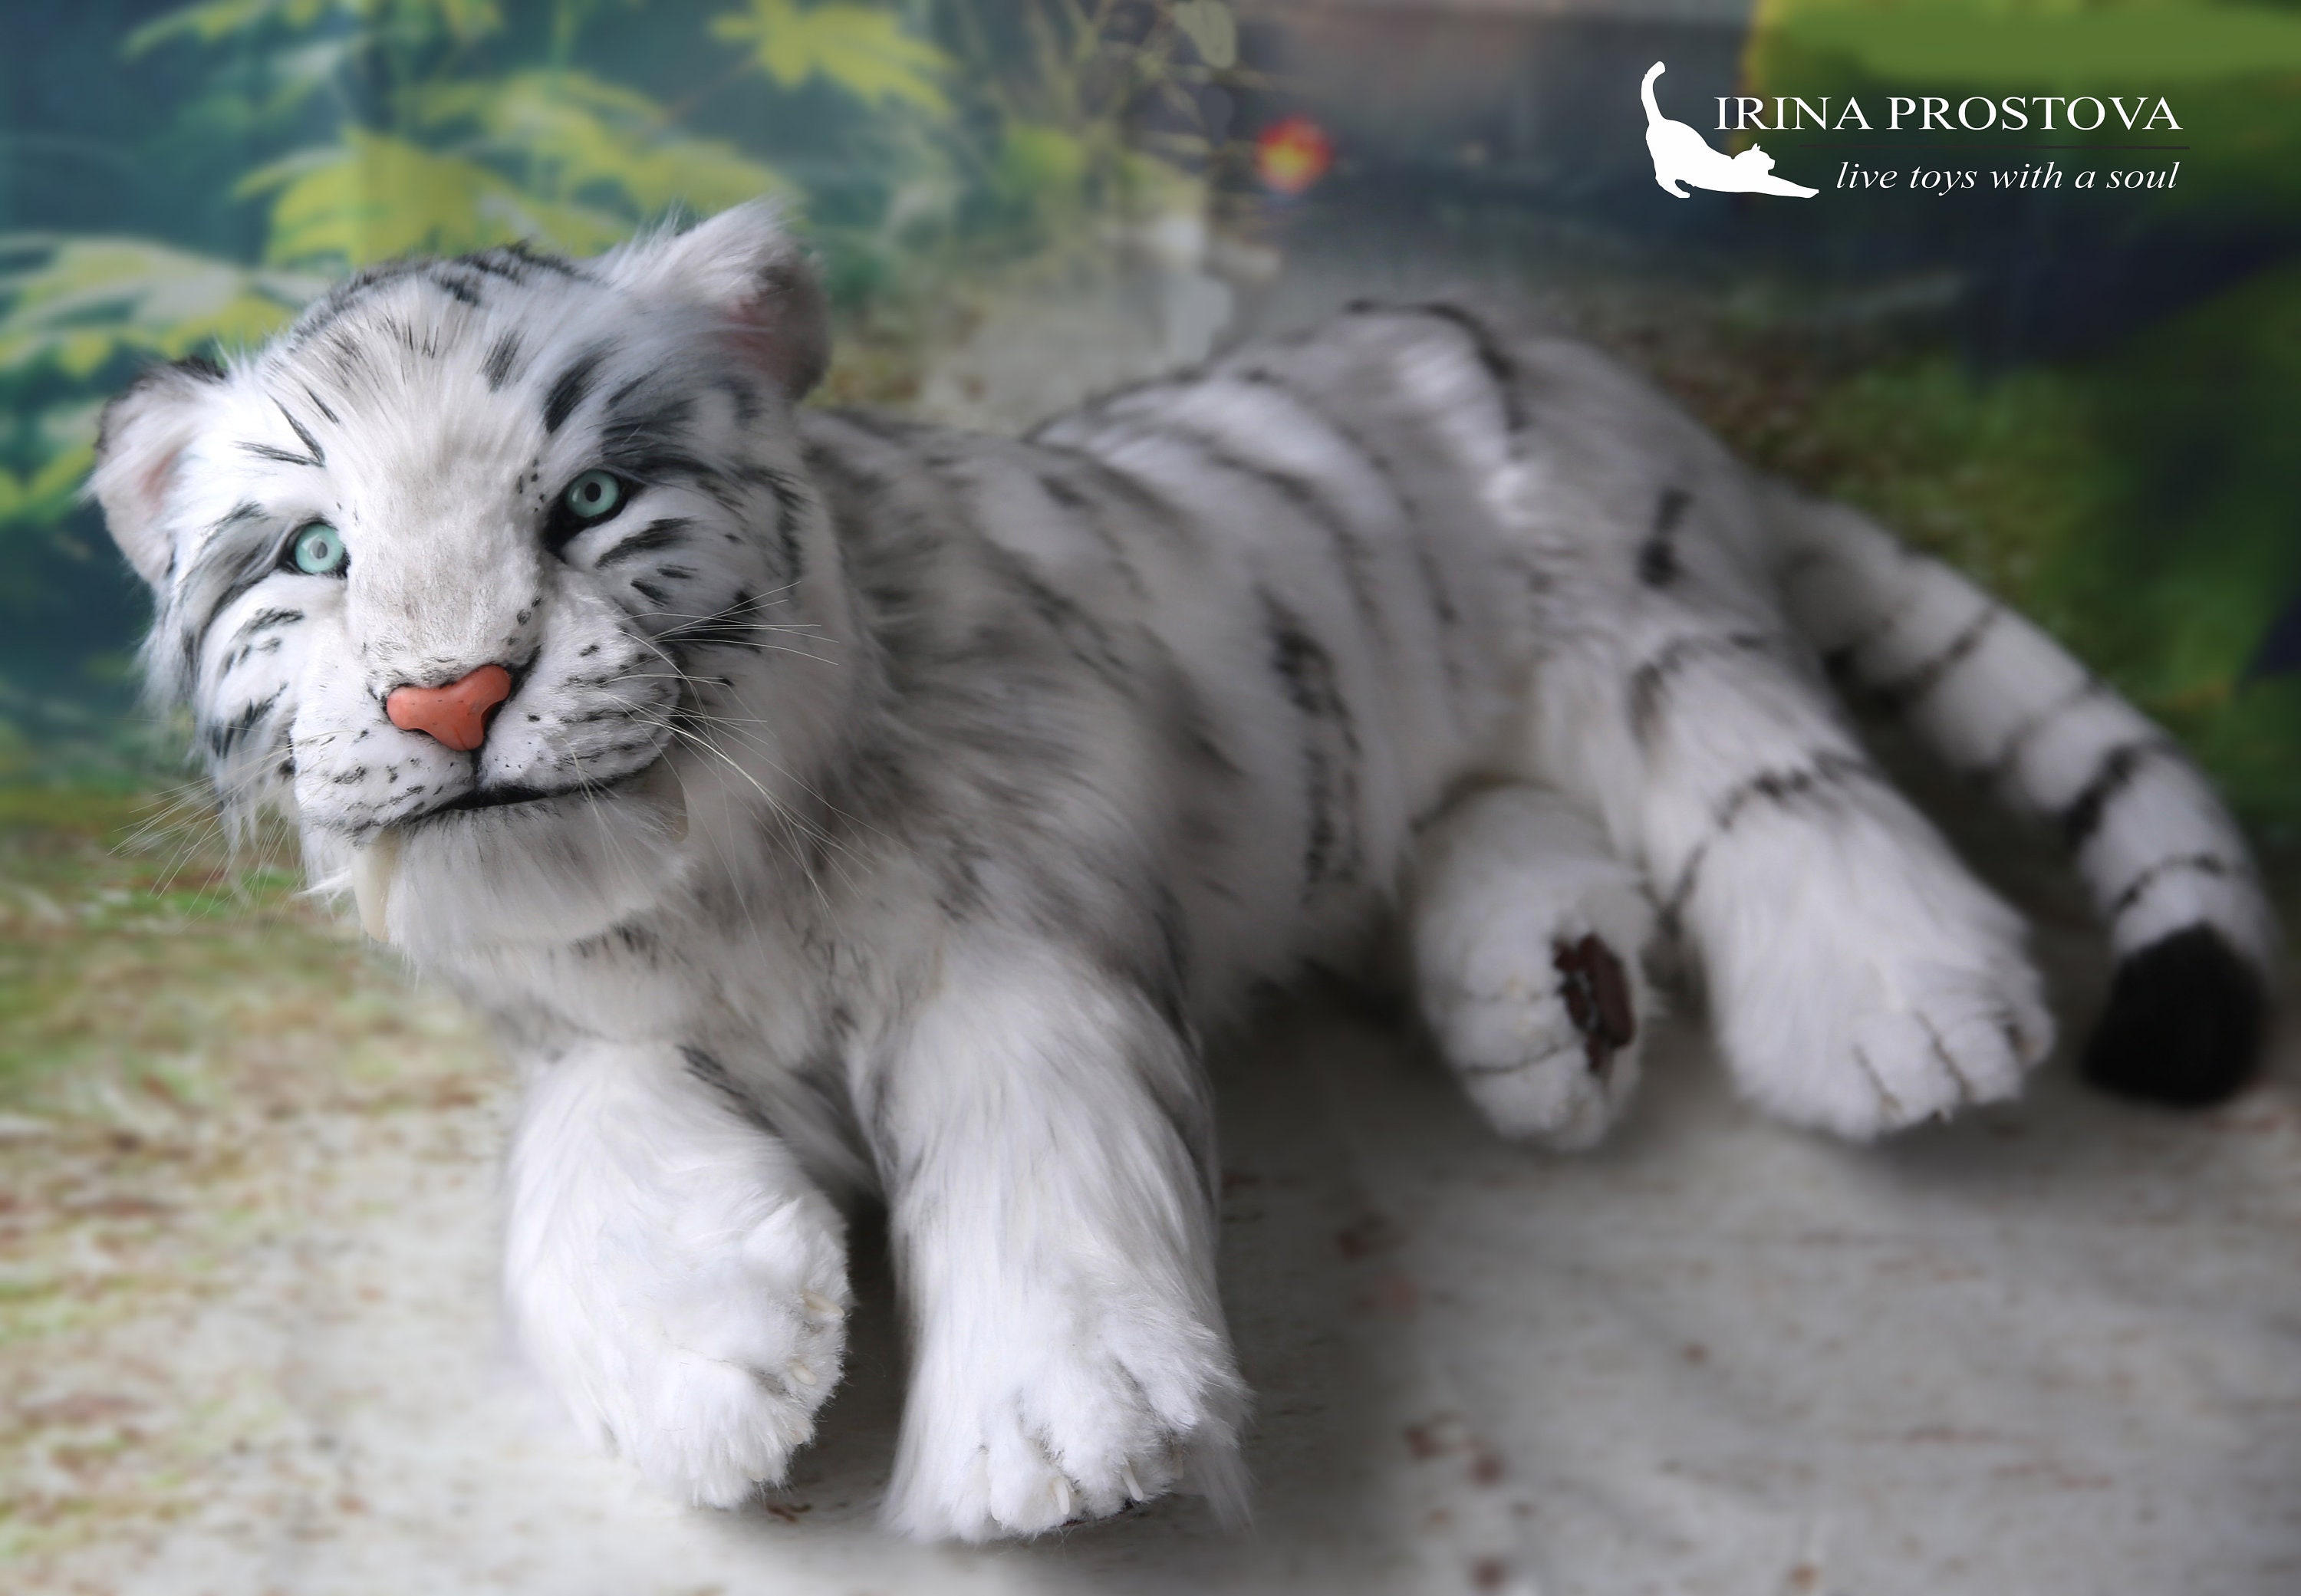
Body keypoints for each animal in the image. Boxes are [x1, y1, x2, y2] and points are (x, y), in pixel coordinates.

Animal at [89, 203, 2275, 1541]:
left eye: (594, 500)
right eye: (315, 555)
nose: (451, 692)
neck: (704, 873)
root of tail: (1627, 387)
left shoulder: (1014, 940)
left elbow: (1037, 1156)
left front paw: (1052, 1445)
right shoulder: (596, 1016)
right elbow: (585, 1149)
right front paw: (715, 1372)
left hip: (1648, 636)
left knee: (1792, 793)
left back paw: (1909, 1029)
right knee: (1497, 833)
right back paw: (1555, 1009)